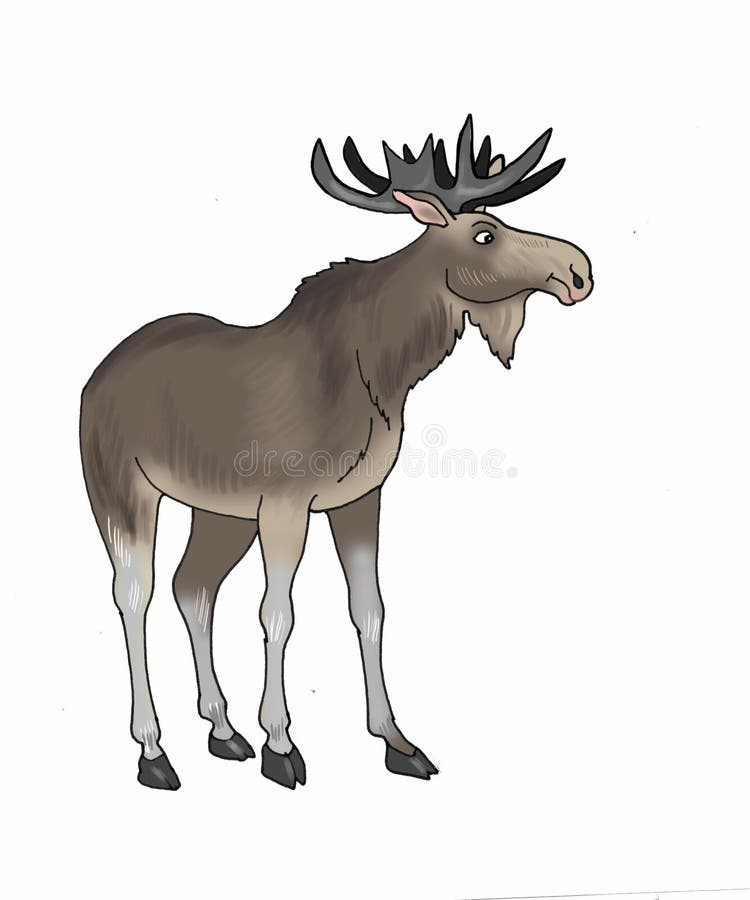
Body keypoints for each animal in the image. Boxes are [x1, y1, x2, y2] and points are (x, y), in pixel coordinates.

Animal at [80, 115, 593, 791]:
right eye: (485, 232)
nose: (580, 270)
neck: (382, 372)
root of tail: (93, 380)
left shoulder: (358, 498)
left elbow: (369, 609)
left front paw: (397, 741)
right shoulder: (285, 504)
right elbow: (278, 614)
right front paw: (280, 743)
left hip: (218, 512)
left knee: (192, 587)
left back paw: (222, 729)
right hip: (123, 490)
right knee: (133, 593)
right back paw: (154, 751)